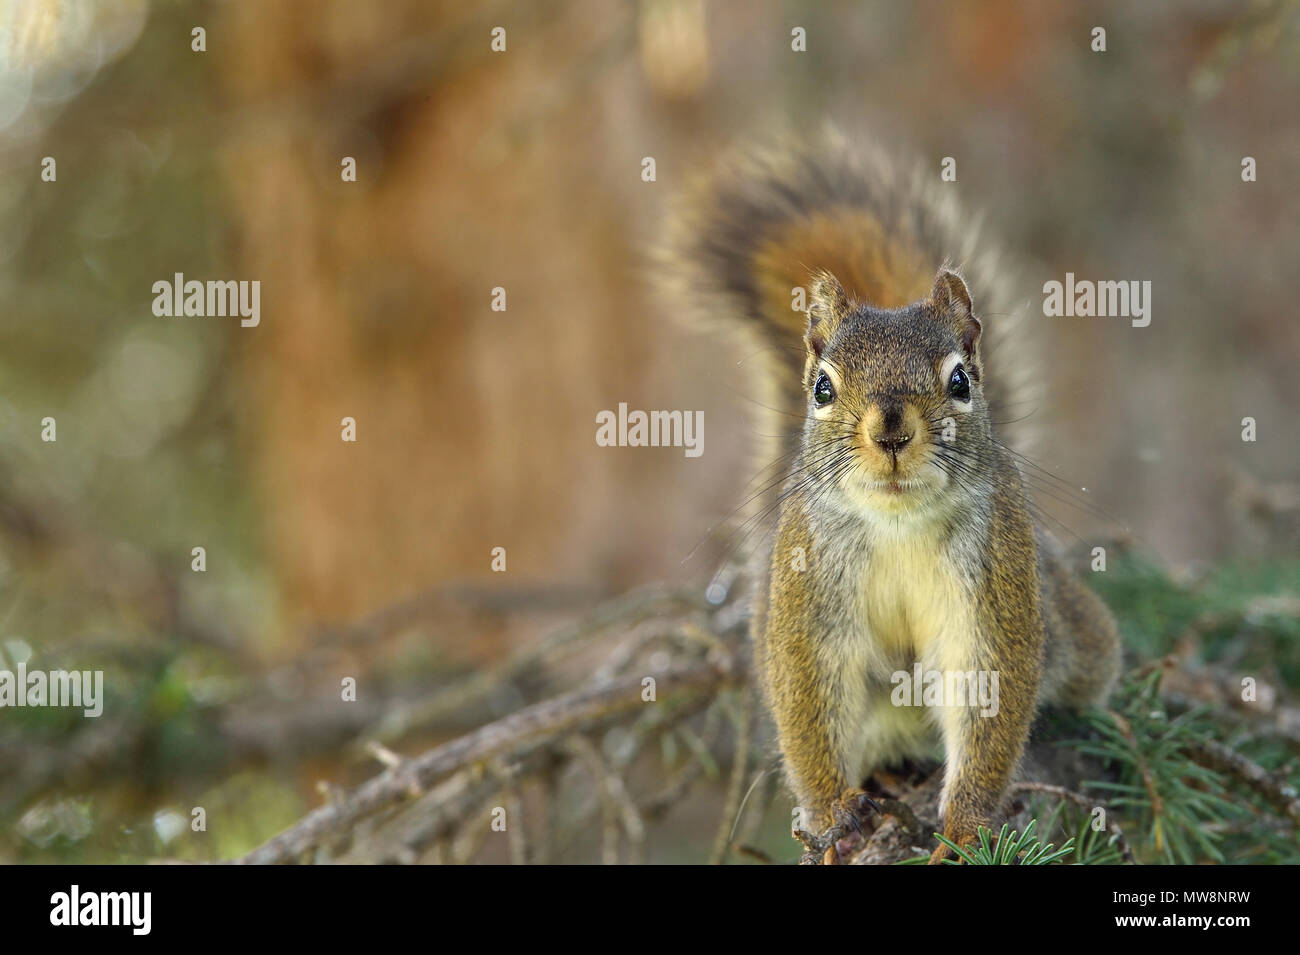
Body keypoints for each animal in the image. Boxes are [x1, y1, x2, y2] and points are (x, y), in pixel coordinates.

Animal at [664, 131, 1121, 863]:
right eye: (822, 387)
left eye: (960, 379)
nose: (891, 430)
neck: (899, 524)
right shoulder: (805, 599)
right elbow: (808, 708)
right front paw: (834, 814)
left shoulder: (995, 591)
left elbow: (988, 699)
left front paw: (964, 829)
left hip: (1080, 633)